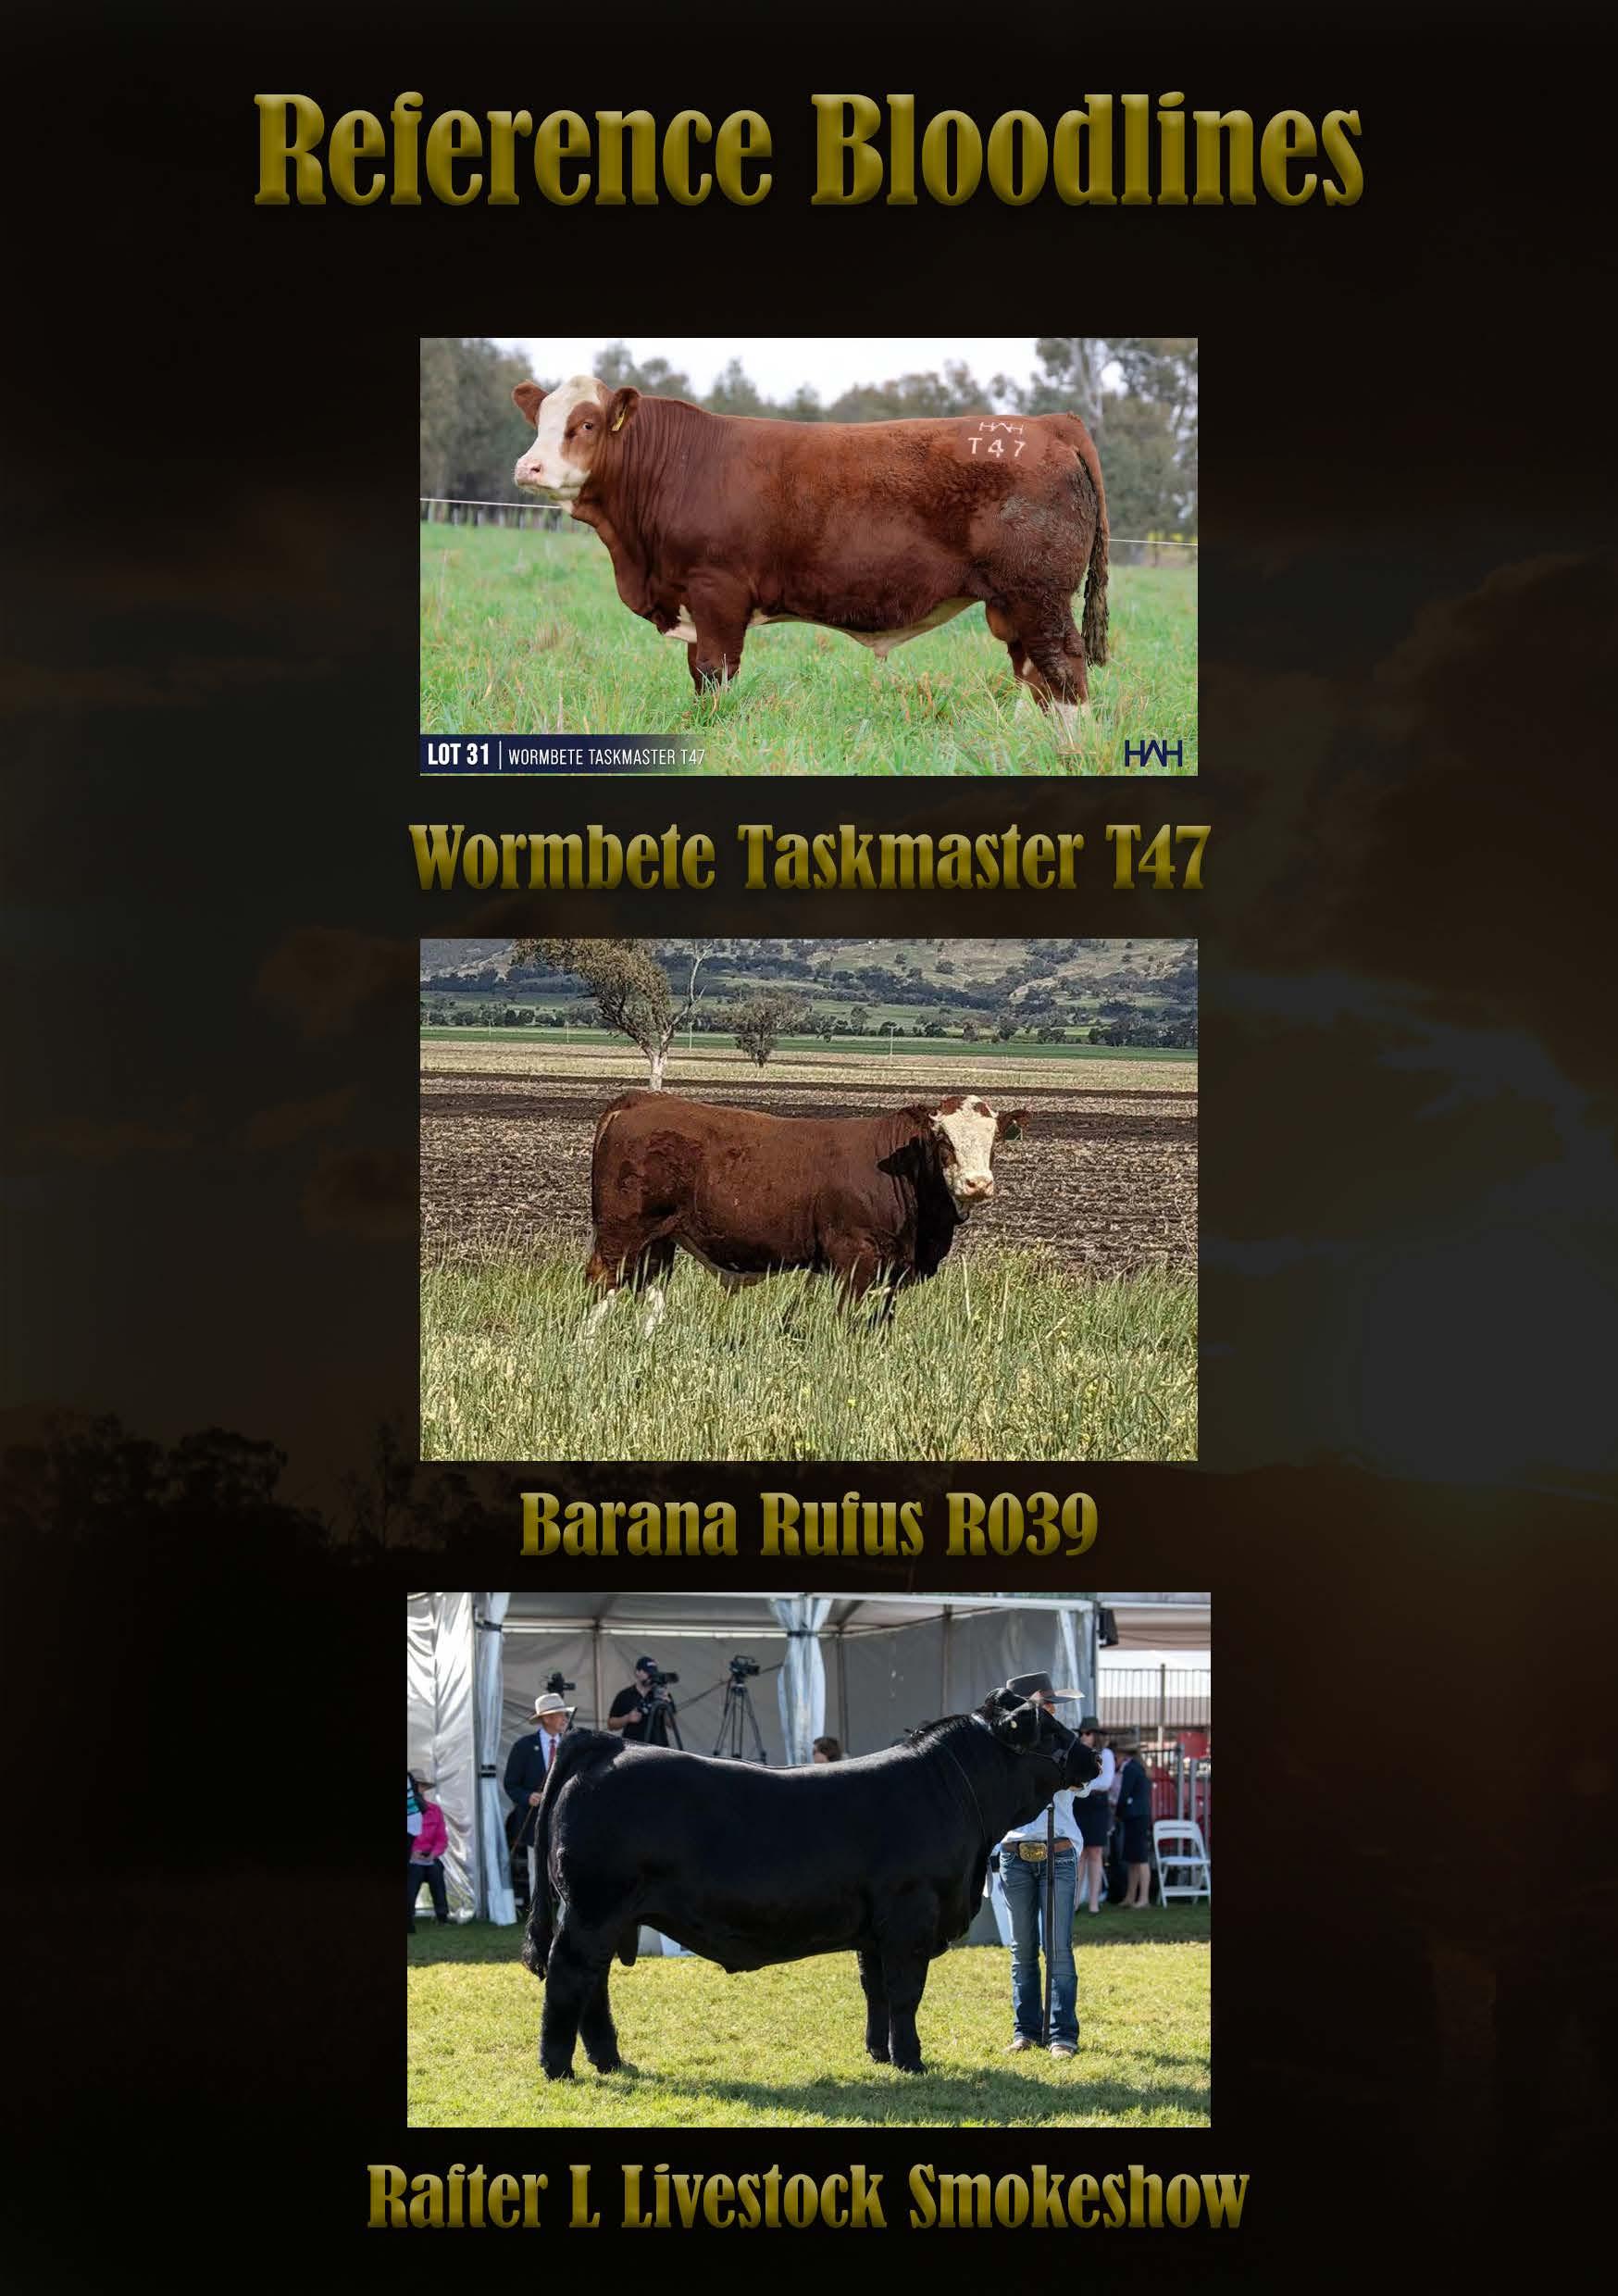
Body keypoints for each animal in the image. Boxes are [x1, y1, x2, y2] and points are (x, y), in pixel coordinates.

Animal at [511, 376, 1109, 738]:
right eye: (539, 422)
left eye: (586, 424)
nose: (528, 467)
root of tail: (1047, 424)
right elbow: (698, 673)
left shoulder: (716, 591)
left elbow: (713, 672)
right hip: (1014, 602)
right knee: (1033, 672)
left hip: (1040, 594)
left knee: (1063, 667)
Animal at [521, 1690, 1103, 2078]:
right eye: (1052, 1731)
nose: (1094, 1756)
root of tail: (607, 1744)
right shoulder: (911, 1917)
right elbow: (905, 1992)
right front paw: (911, 2061)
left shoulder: (875, 1930)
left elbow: (876, 1990)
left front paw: (879, 2054)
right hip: (593, 1908)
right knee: (568, 1974)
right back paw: (558, 2068)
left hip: (600, 1913)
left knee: (593, 1982)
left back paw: (610, 2061)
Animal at [582, 1090, 1030, 1336]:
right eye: (943, 1141)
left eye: (994, 1140)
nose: (977, 1183)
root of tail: (642, 1100)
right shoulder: (855, 1257)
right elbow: (846, 1316)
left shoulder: (892, 1269)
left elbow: (880, 1320)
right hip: (621, 1232)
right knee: (601, 1283)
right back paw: (585, 1348)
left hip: (660, 1238)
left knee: (650, 1288)